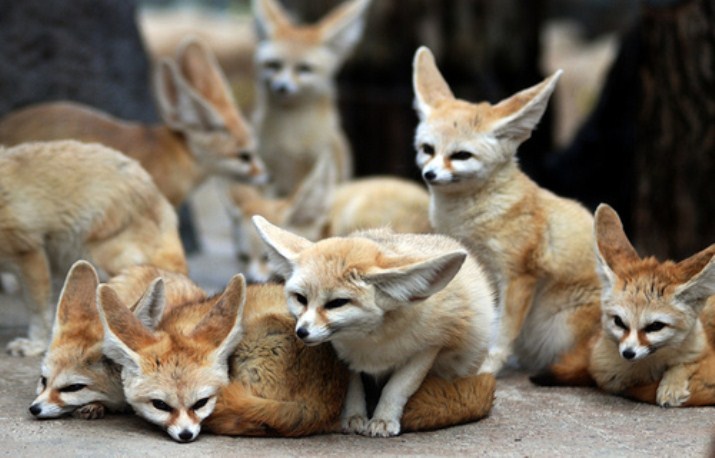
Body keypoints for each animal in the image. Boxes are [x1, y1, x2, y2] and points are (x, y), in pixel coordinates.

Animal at [252, 0, 371, 196]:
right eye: (274, 65)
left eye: (304, 69)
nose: (282, 87)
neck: (290, 134)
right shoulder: (269, 171)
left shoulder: (316, 166)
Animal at [253, 216, 495, 437]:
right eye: (300, 299)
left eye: (337, 303)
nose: (301, 332)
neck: (372, 343)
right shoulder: (347, 358)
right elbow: (352, 388)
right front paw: (353, 416)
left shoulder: (429, 348)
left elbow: (397, 387)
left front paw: (384, 419)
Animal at [412, 46, 602, 376]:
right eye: (428, 149)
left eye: (461, 155)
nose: (430, 174)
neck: (468, 220)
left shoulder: (517, 275)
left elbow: (501, 332)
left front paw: (486, 369)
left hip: (563, 324)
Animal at [532, 204, 715, 407]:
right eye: (619, 322)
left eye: (655, 326)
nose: (628, 353)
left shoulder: (703, 352)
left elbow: (687, 364)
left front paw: (671, 386)